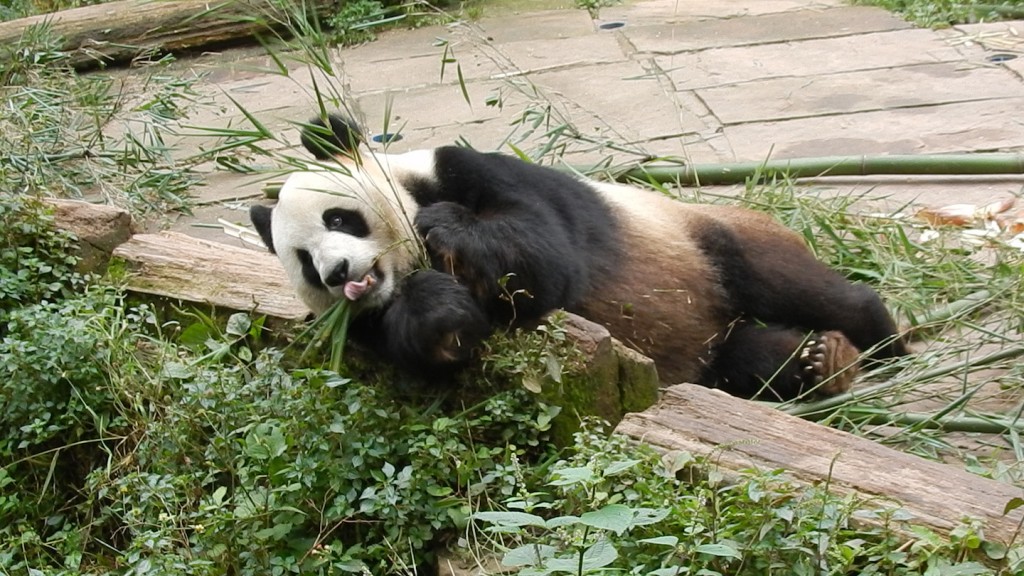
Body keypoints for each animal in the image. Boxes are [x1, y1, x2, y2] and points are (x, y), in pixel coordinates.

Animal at [250, 113, 908, 401]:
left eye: (340, 219)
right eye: (305, 263)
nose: (339, 273)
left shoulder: (464, 169)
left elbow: (545, 262)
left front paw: (448, 231)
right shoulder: (363, 330)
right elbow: (433, 347)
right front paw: (434, 309)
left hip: (704, 242)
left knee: (790, 284)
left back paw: (877, 346)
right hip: (703, 347)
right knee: (748, 360)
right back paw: (819, 362)